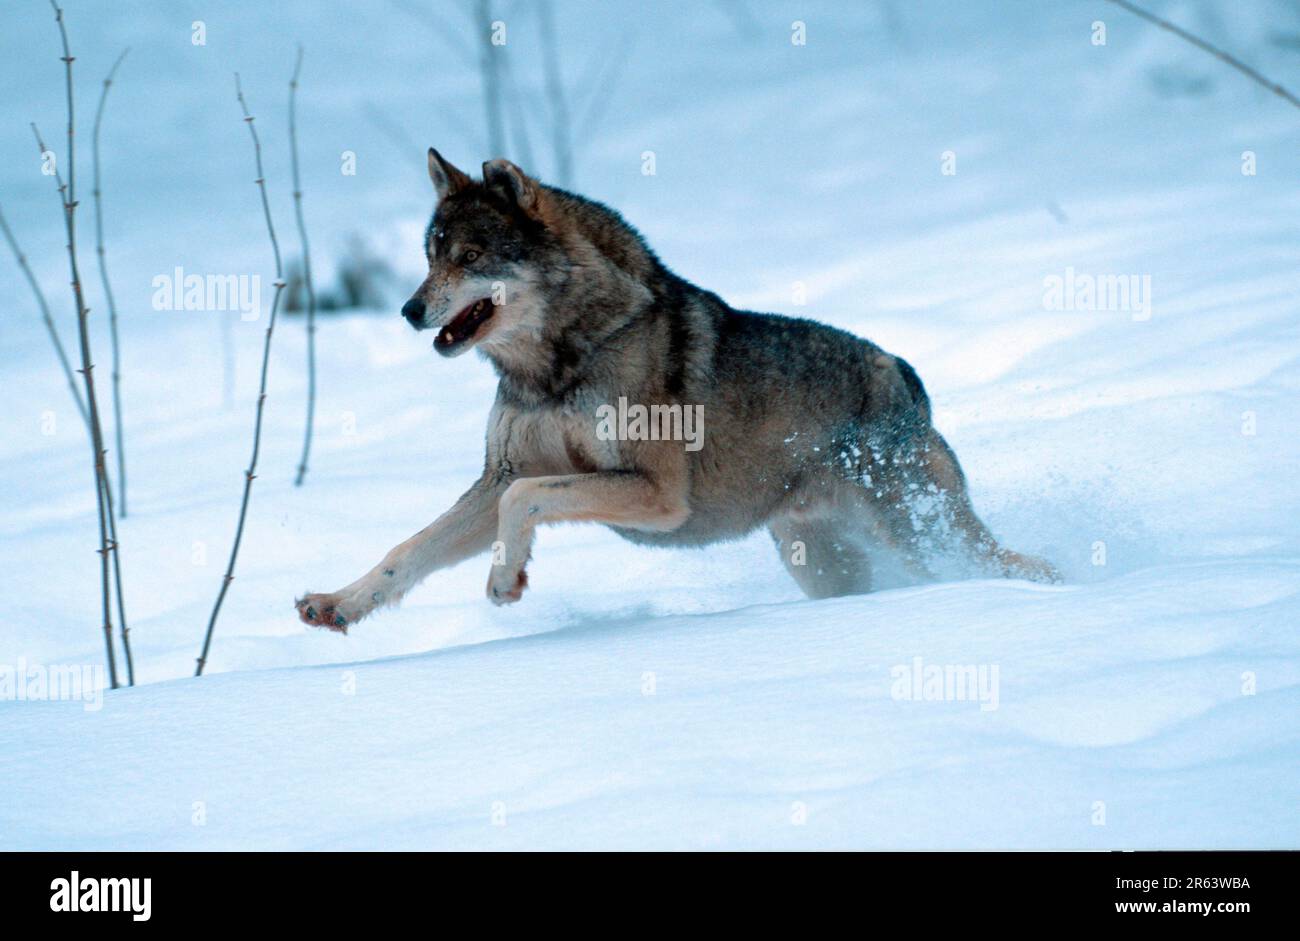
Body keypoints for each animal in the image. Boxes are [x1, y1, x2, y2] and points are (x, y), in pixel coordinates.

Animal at [296, 149, 1058, 631]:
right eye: (430, 256)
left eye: (471, 256)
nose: (408, 310)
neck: (556, 368)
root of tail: (906, 374)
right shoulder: (498, 476)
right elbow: (407, 552)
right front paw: (335, 604)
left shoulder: (653, 495)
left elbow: (527, 502)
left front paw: (502, 582)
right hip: (824, 563)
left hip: (918, 536)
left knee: (1021, 563)